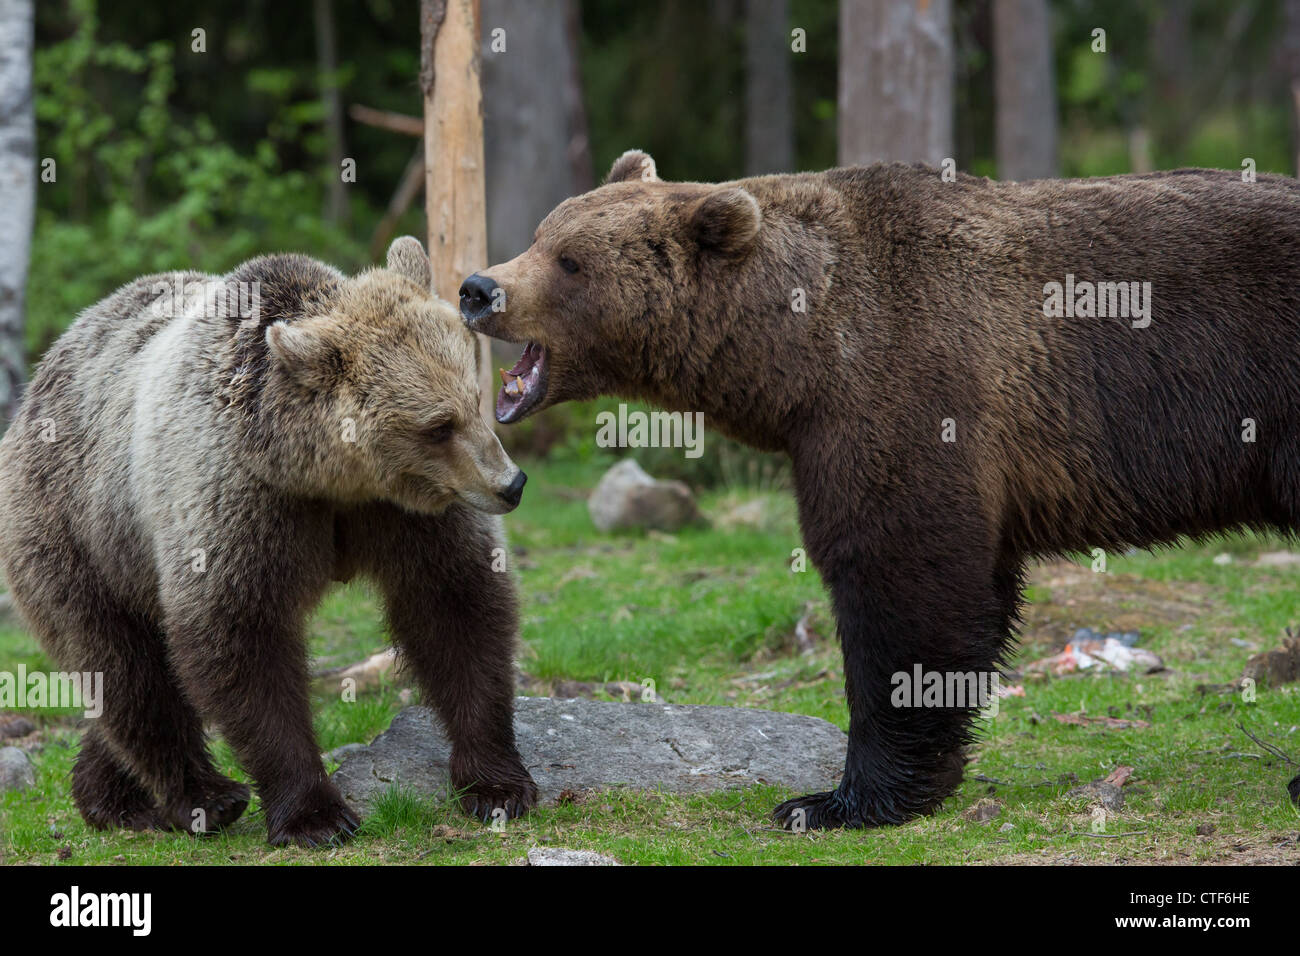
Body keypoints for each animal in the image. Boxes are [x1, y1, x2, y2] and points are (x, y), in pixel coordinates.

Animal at [0, 237, 538, 846]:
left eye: (474, 397)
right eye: (437, 426)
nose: (510, 484)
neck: (327, 476)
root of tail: (37, 383)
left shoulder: (404, 513)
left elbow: (454, 606)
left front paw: (497, 784)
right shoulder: (239, 499)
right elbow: (241, 636)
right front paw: (316, 815)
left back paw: (109, 793)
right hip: (76, 532)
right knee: (124, 665)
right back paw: (205, 797)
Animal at [460, 151, 1300, 829]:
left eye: (571, 261)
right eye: (542, 234)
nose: (477, 288)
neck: (798, 353)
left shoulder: (909, 396)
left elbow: (902, 582)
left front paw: (831, 801)